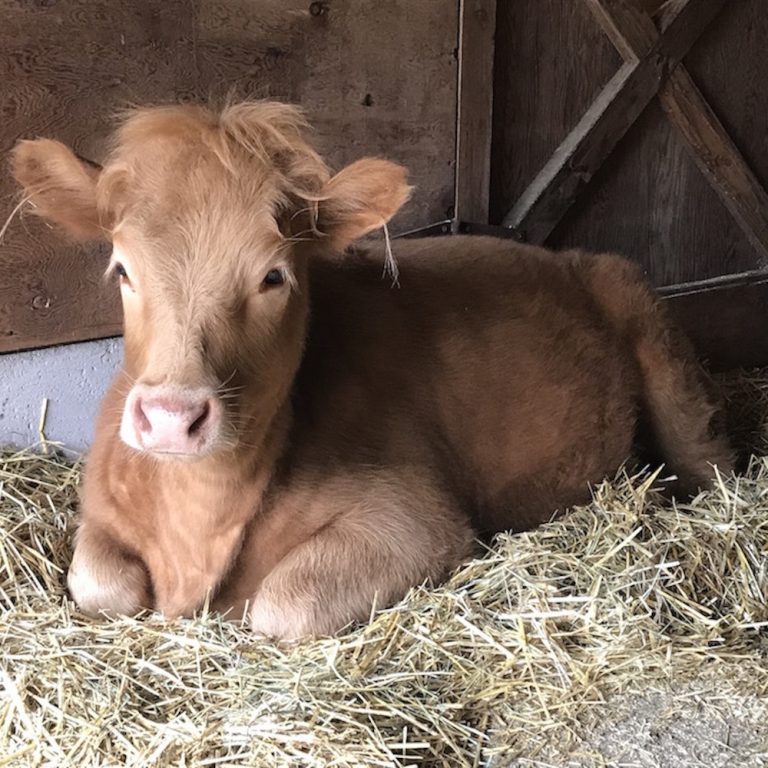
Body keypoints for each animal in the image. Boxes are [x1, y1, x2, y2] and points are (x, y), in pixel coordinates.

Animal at [10, 101, 734, 640]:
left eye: (274, 276)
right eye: (122, 269)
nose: (170, 418)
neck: (198, 529)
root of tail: (563, 258)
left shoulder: (414, 520)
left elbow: (284, 604)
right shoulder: (101, 508)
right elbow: (100, 584)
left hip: (651, 329)